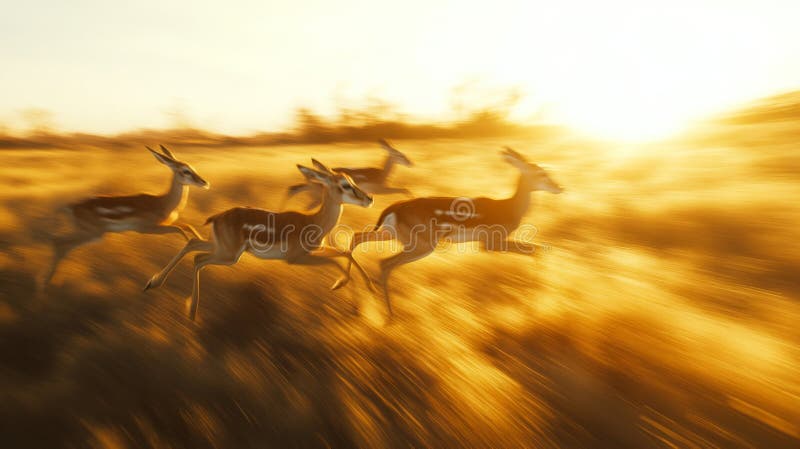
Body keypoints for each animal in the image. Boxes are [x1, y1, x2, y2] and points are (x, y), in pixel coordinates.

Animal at [44, 145, 209, 285]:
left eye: (192, 167)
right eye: (185, 171)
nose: (204, 182)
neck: (162, 202)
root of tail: (71, 207)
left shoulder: (166, 223)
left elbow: (188, 226)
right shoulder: (147, 229)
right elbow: (181, 231)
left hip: (88, 234)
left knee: (60, 244)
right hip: (91, 234)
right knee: (59, 242)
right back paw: (47, 285)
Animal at [143, 159, 375, 321]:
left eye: (353, 180)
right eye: (345, 184)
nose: (369, 198)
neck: (313, 221)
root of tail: (217, 217)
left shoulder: (314, 250)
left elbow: (344, 253)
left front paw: (368, 291)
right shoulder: (295, 258)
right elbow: (337, 260)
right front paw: (344, 290)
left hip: (220, 247)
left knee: (192, 245)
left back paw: (153, 284)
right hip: (229, 255)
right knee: (198, 258)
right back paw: (191, 311)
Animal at [282, 139, 413, 210]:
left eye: (403, 154)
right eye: (399, 155)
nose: (410, 163)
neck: (381, 174)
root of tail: (310, 180)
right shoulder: (381, 190)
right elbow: (404, 189)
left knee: (293, 189)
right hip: (317, 200)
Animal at [347, 148, 563, 316]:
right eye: (541, 173)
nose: (558, 187)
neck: (509, 208)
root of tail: (392, 209)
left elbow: (537, 249)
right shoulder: (492, 241)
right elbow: (536, 249)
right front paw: (533, 303)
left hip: (392, 234)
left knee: (357, 238)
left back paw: (360, 297)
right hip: (421, 244)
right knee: (385, 263)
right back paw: (390, 315)